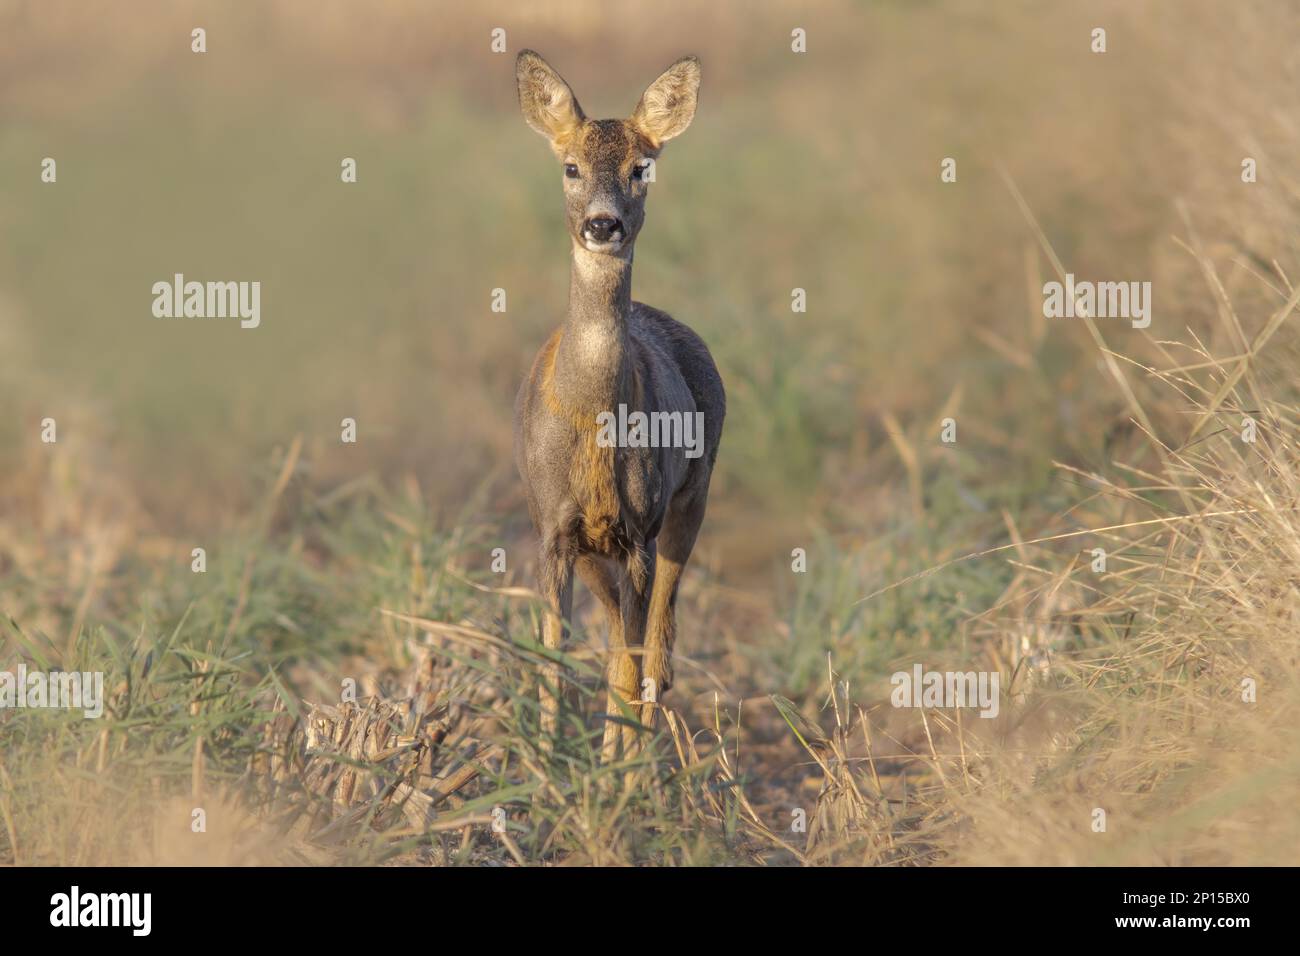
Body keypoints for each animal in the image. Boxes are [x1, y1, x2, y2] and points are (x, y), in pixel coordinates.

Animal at [512, 49, 725, 761]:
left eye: (642, 167)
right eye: (570, 166)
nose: (603, 224)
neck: (590, 417)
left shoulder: (640, 530)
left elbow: (634, 665)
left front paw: (613, 771)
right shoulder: (552, 531)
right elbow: (554, 660)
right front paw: (545, 768)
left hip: (690, 502)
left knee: (657, 647)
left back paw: (639, 764)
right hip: (594, 550)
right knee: (622, 645)